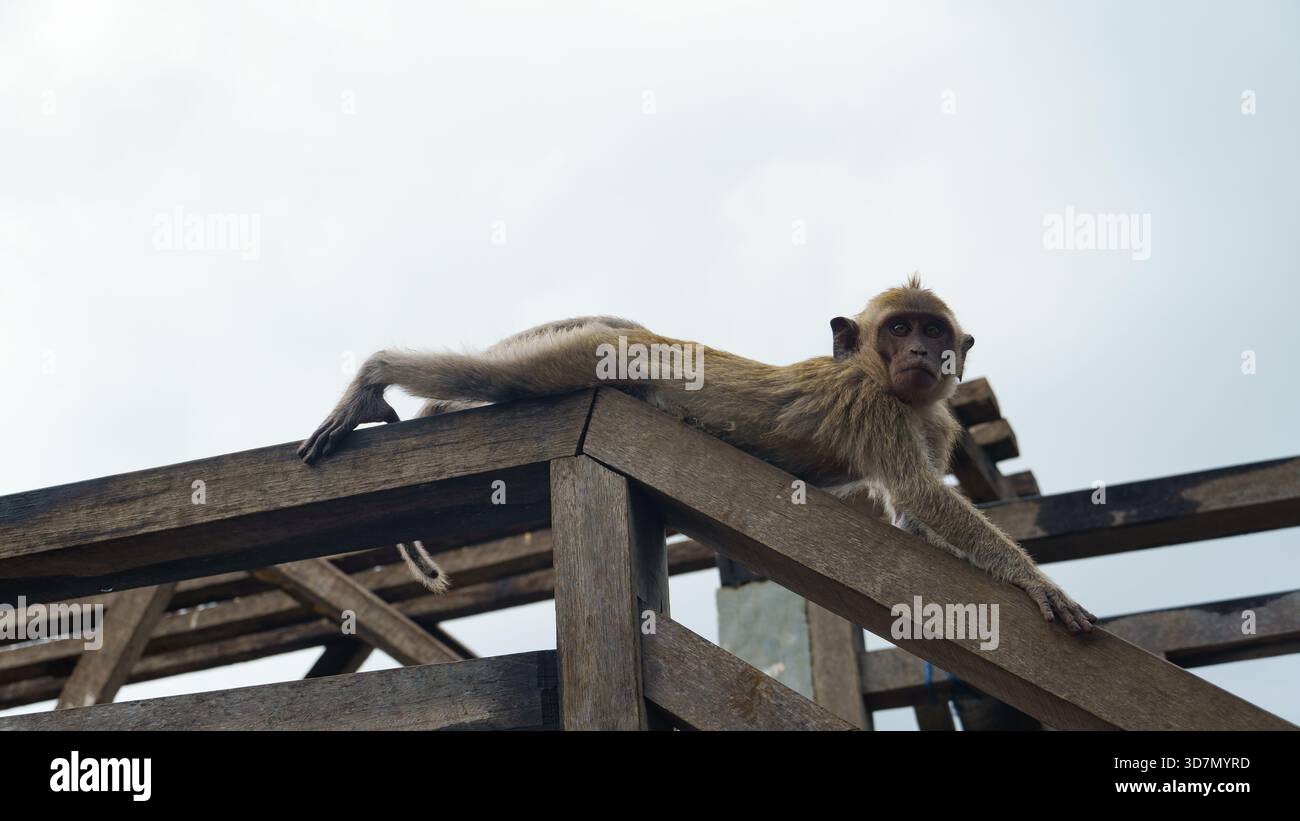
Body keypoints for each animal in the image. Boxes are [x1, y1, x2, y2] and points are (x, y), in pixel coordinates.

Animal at [299, 276, 1096, 632]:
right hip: (603, 351)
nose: (923, 355)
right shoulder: (877, 408)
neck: (881, 380)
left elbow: (914, 514)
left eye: (934, 329)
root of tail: (655, 336)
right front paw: (1039, 585)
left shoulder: (930, 419)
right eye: (899, 327)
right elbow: (920, 496)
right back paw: (373, 378)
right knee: (508, 378)